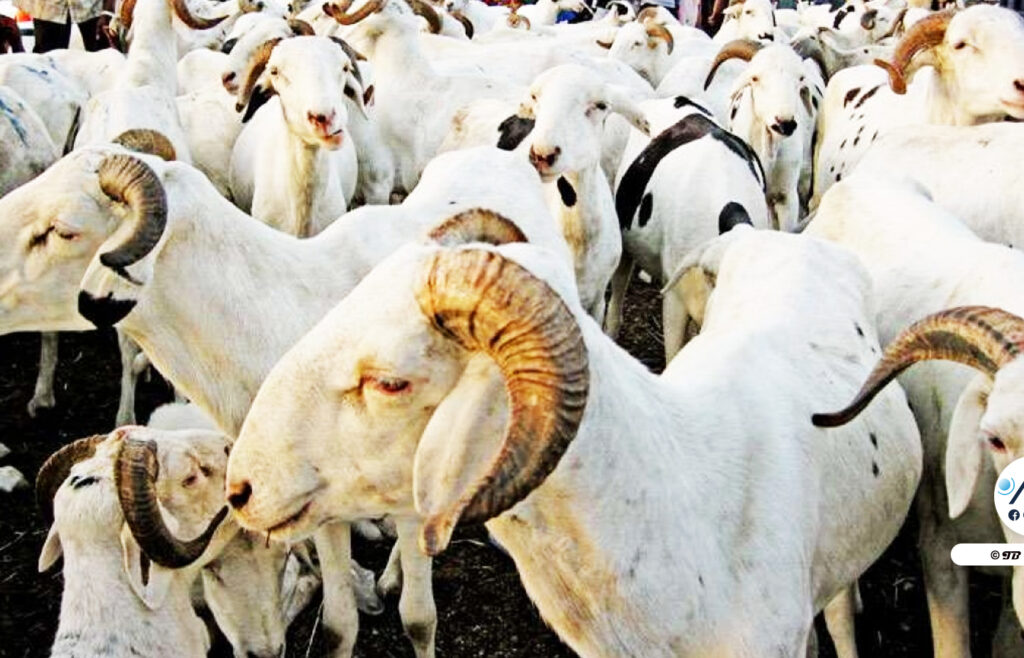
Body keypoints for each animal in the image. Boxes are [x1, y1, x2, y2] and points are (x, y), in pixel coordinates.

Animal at [0, 144, 570, 658]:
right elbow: (338, 625)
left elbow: (418, 619)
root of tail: (504, 154)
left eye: (62, 230)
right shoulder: (312, 511)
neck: (278, 316)